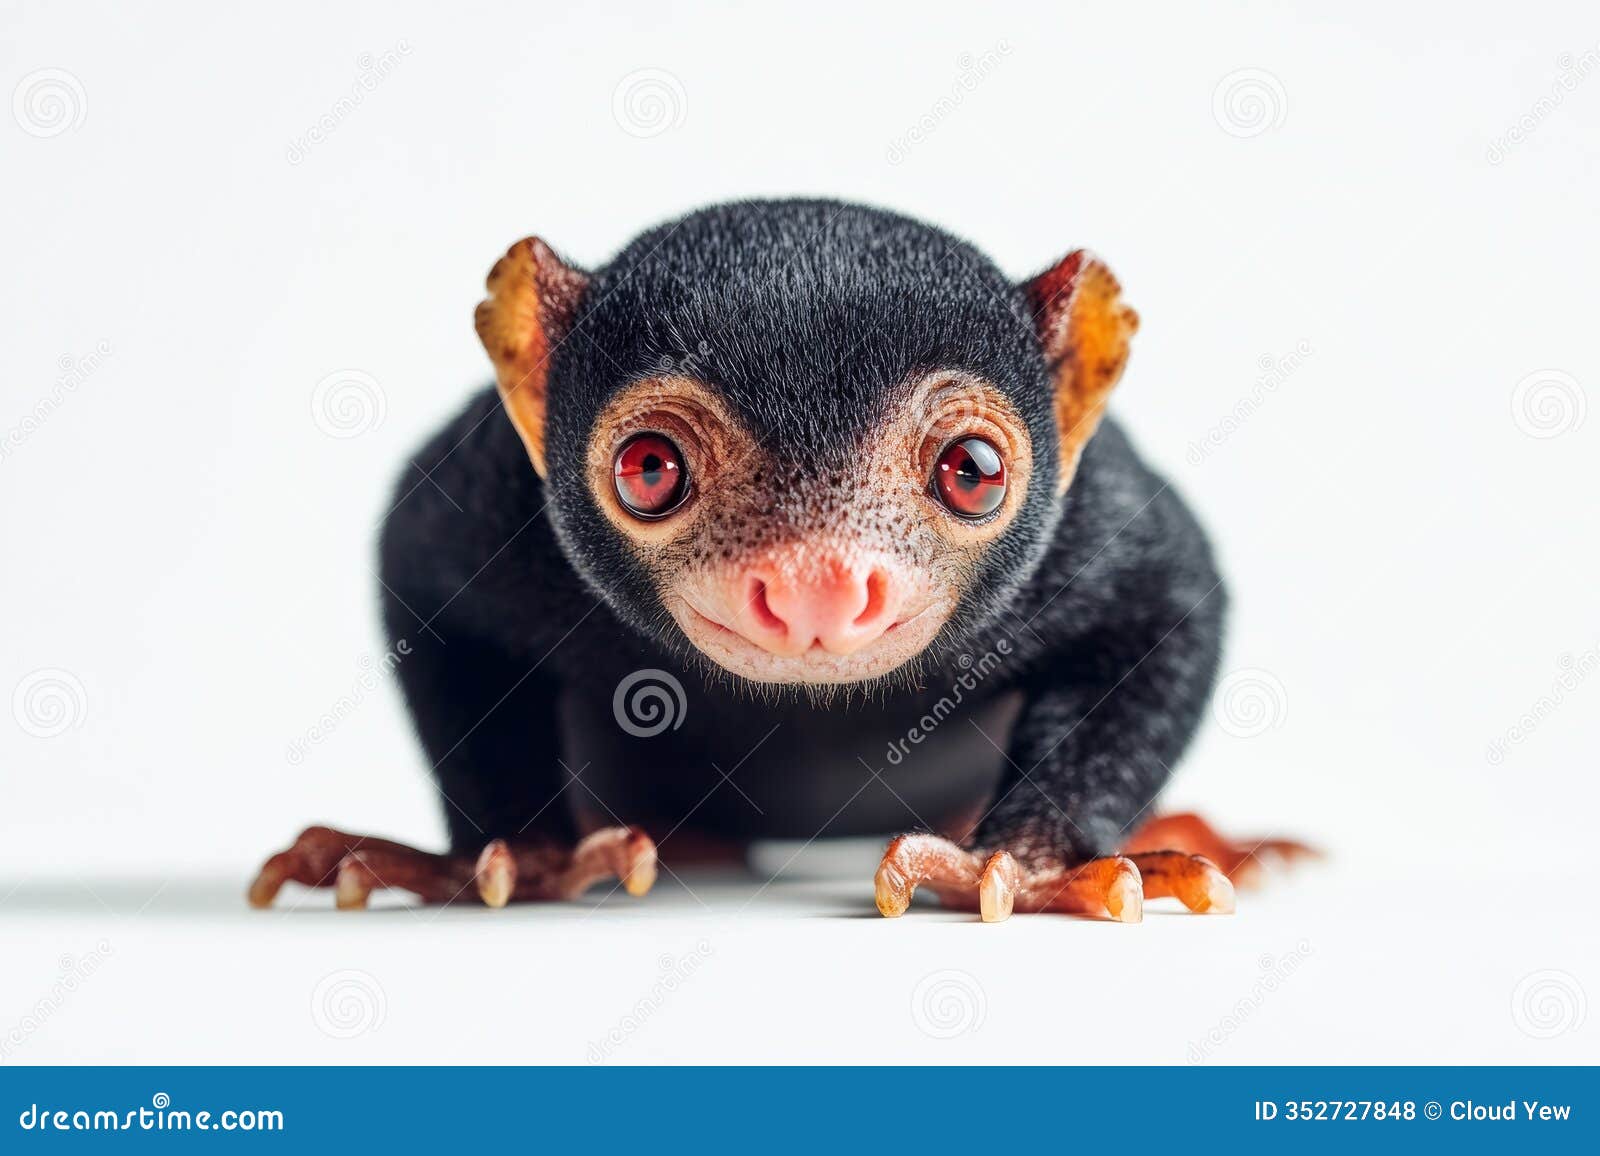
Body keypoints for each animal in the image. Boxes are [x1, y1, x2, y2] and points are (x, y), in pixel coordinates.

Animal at [249, 199, 1311, 922]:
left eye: (971, 472)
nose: (816, 590)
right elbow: (430, 592)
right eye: (648, 468)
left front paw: (1030, 866)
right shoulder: (493, 503)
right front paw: (520, 857)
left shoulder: (1091, 523)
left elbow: (1170, 606)